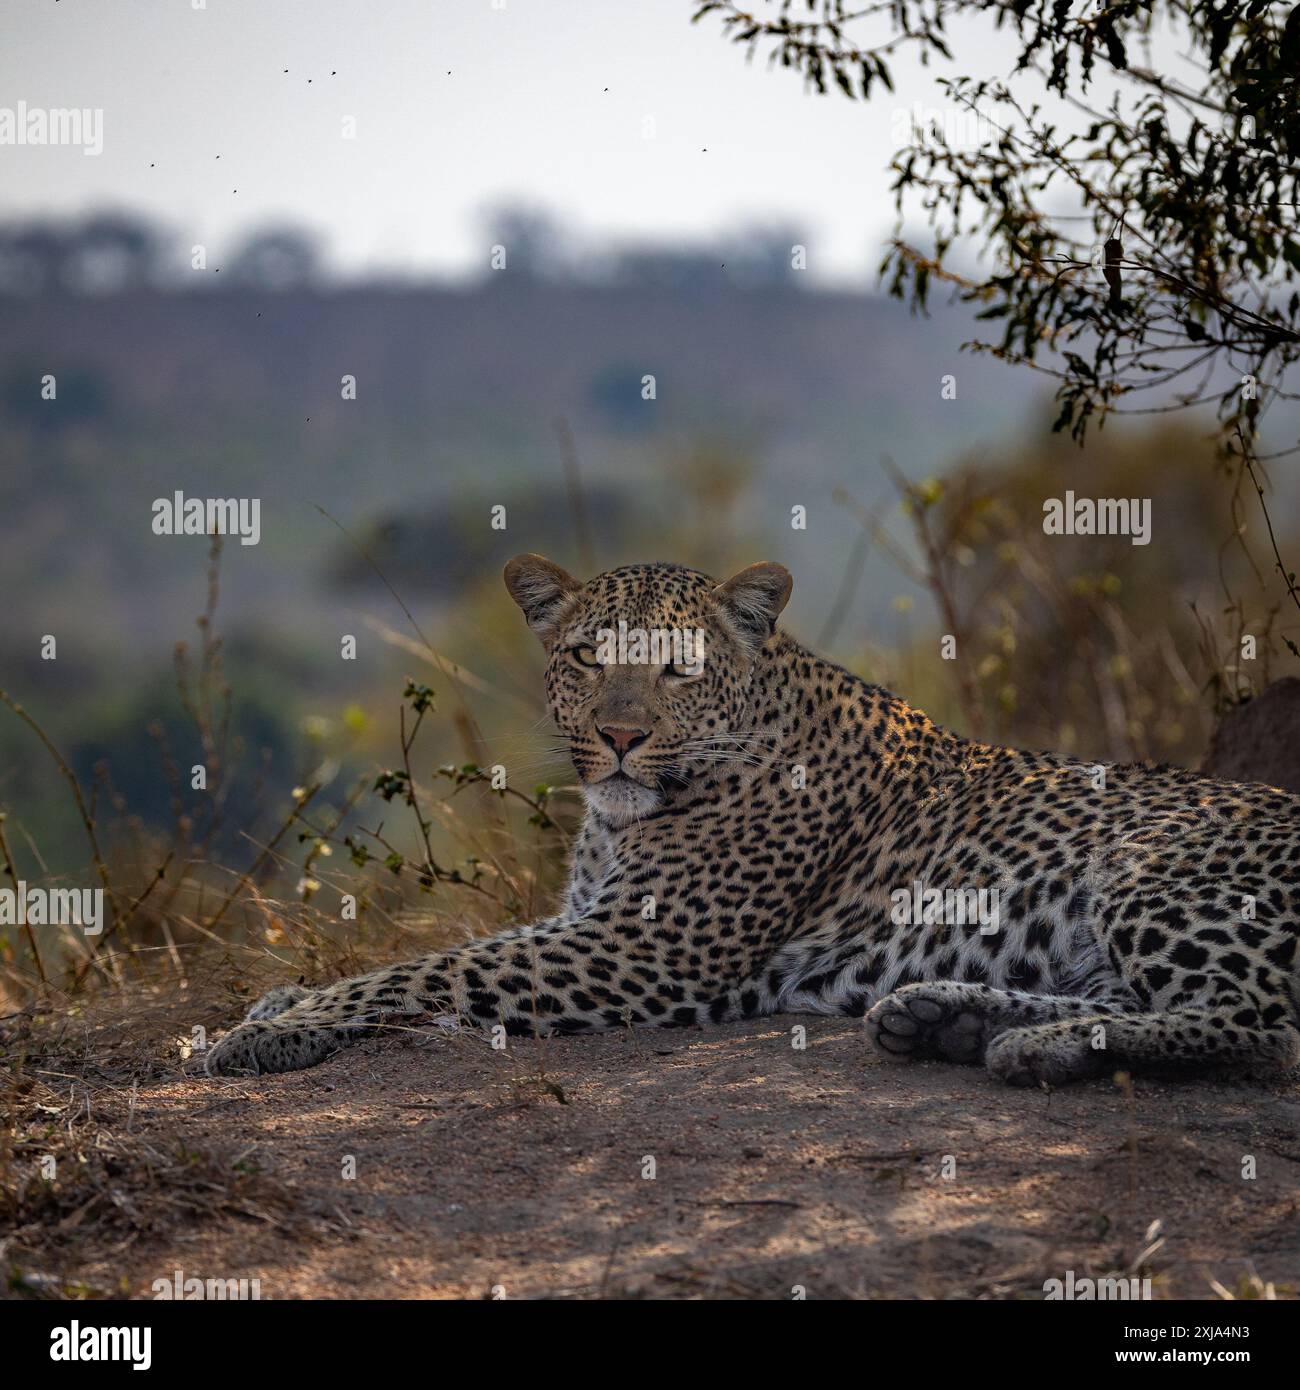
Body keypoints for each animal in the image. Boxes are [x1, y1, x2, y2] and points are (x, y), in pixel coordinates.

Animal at [203, 554, 1300, 1087]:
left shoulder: (643, 948)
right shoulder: (588, 922)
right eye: (588, 656)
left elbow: (434, 968)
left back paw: (1028, 1050)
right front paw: (280, 1002)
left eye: (679, 669)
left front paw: (271, 1028)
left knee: (1265, 1026)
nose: (619, 736)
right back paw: (948, 1019)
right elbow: (449, 953)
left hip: (1152, 871)